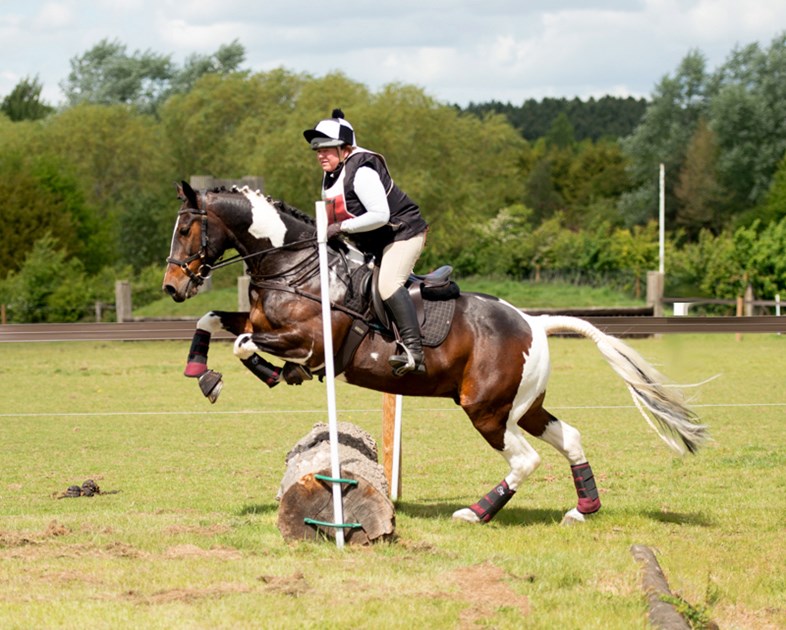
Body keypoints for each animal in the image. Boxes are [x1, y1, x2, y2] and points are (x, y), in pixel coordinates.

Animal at [162, 180, 708, 525]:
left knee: (525, 459)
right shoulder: (259, 322)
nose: (172, 286)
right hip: (522, 405)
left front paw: (277, 374)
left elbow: (243, 344)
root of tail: (534, 322)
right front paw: (200, 371)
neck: (293, 264)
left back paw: (476, 512)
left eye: (187, 229)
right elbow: (212, 321)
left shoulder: (310, 341)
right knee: (569, 438)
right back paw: (582, 509)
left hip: (486, 409)